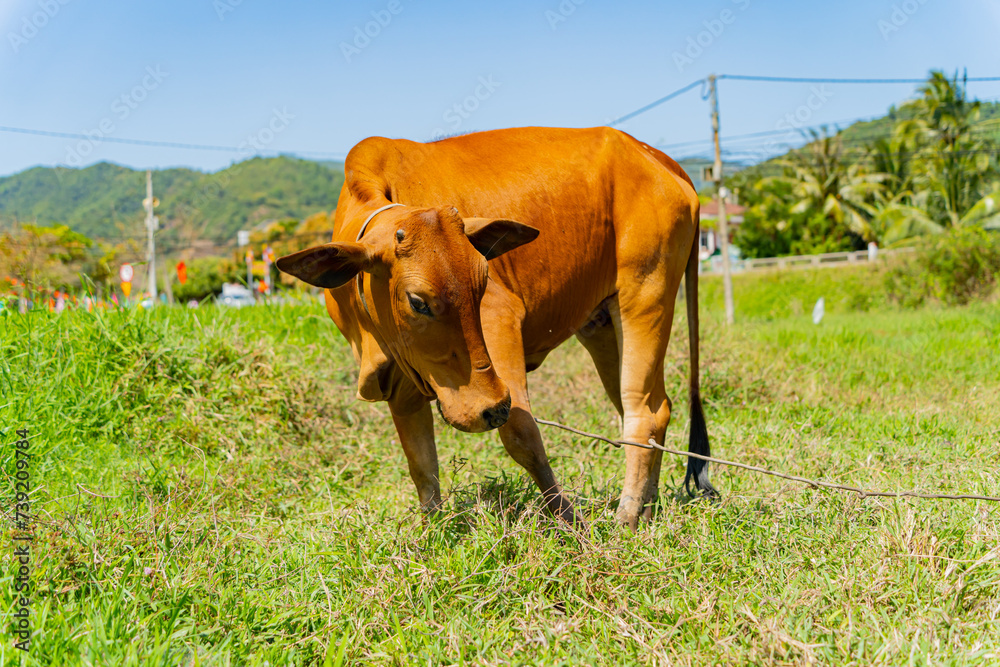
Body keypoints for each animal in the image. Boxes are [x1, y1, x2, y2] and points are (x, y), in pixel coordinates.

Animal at [276, 126, 717, 529]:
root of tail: (654, 155)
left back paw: (626, 516)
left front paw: (569, 520)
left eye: (483, 281)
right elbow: (422, 465)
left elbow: (521, 432)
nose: (491, 408)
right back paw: (647, 505)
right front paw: (432, 536)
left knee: (643, 412)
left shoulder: (499, 322)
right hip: (602, 324)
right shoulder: (402, 386)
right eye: (417, 302)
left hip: (645, 295)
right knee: (652, 409)